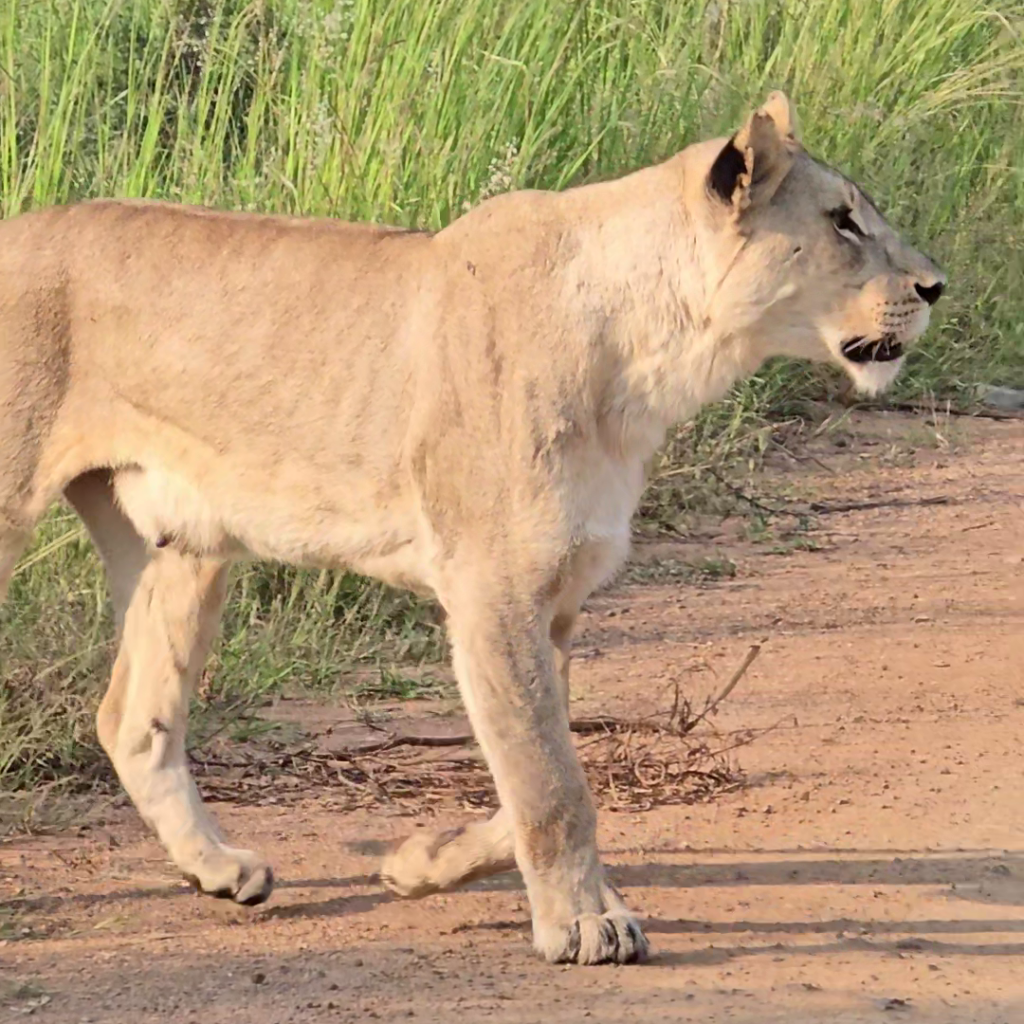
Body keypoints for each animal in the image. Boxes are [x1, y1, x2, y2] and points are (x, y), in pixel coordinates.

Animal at [0, 92, 944, 965]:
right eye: (842, 220)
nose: (936, 287)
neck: (655, 354)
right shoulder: (495, 591)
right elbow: (553, 781)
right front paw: (584, 924)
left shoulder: (554, 597)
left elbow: (542, 771)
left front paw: (426, 860)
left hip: (180, 548)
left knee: (131, 720)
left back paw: (222, 869)